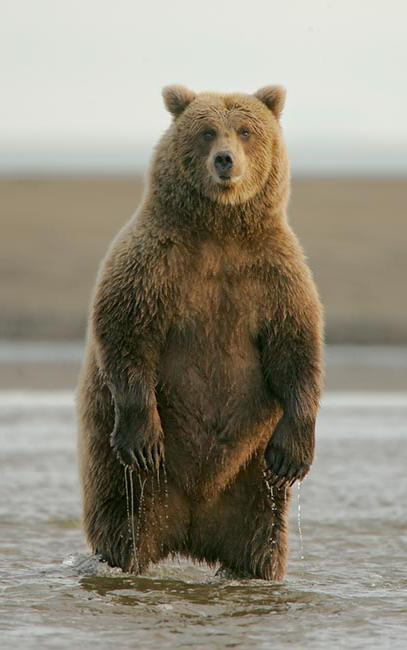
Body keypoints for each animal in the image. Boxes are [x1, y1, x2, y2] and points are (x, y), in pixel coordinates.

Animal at [77, 83, 326, 580]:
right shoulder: (155, 263)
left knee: (262, 538)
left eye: (246, 130)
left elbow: (295, 347)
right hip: (129, 478)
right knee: (121, 523)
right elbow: (126, 332)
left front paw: (294, 454)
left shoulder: (274, 273)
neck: (220, 229)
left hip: (250, 481)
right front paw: (143, 439)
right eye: (208, 130)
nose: (225, 160)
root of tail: (192, 527)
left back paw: (252, 572)